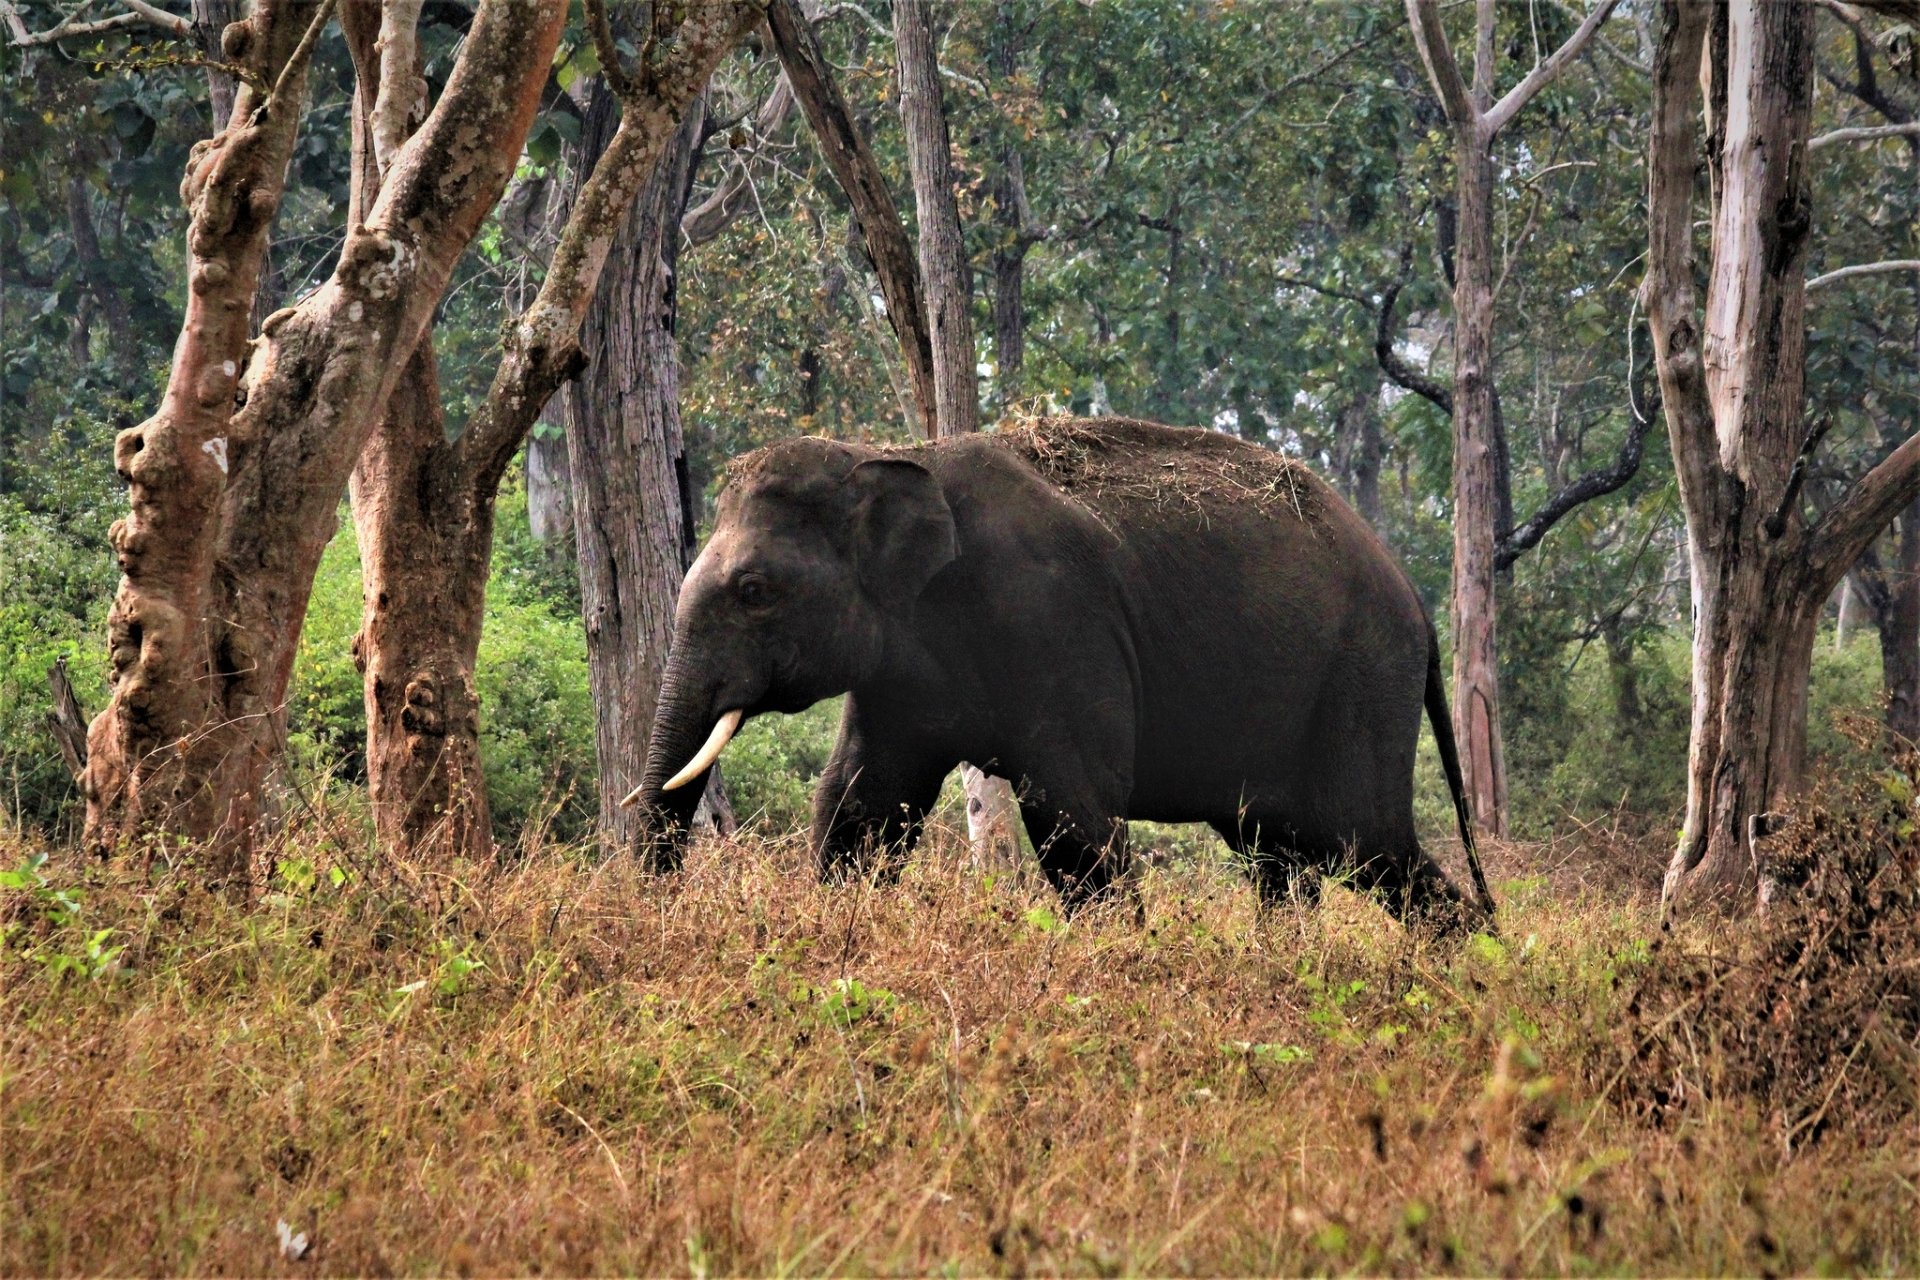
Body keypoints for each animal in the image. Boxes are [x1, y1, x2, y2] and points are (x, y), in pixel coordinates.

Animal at [626, 416, 1495, 928]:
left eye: (754, 591)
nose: (656, 906)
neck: (886, 452)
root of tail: (1416, 601)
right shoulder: (903, 674)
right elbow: (858, 806)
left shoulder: (1052, 621)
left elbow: (1071, 815)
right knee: (1278, 853)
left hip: (1361, 682)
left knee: (1366, 847)